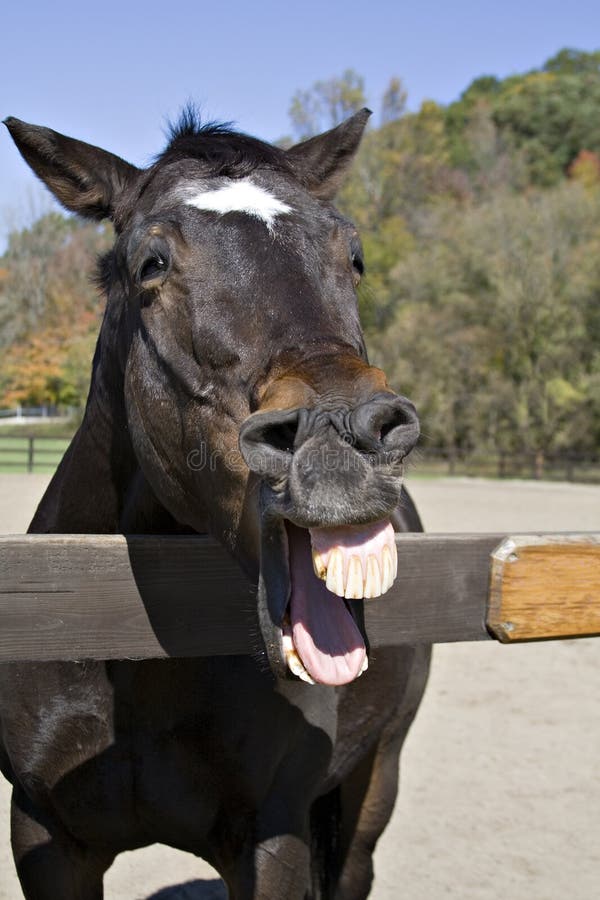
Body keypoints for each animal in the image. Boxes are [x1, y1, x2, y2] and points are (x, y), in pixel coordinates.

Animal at [1, 108, 431, 900]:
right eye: (152, 263)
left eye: (352, 255)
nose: (345, 438)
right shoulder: (44, 835)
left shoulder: (275, 841)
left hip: (374, 780)